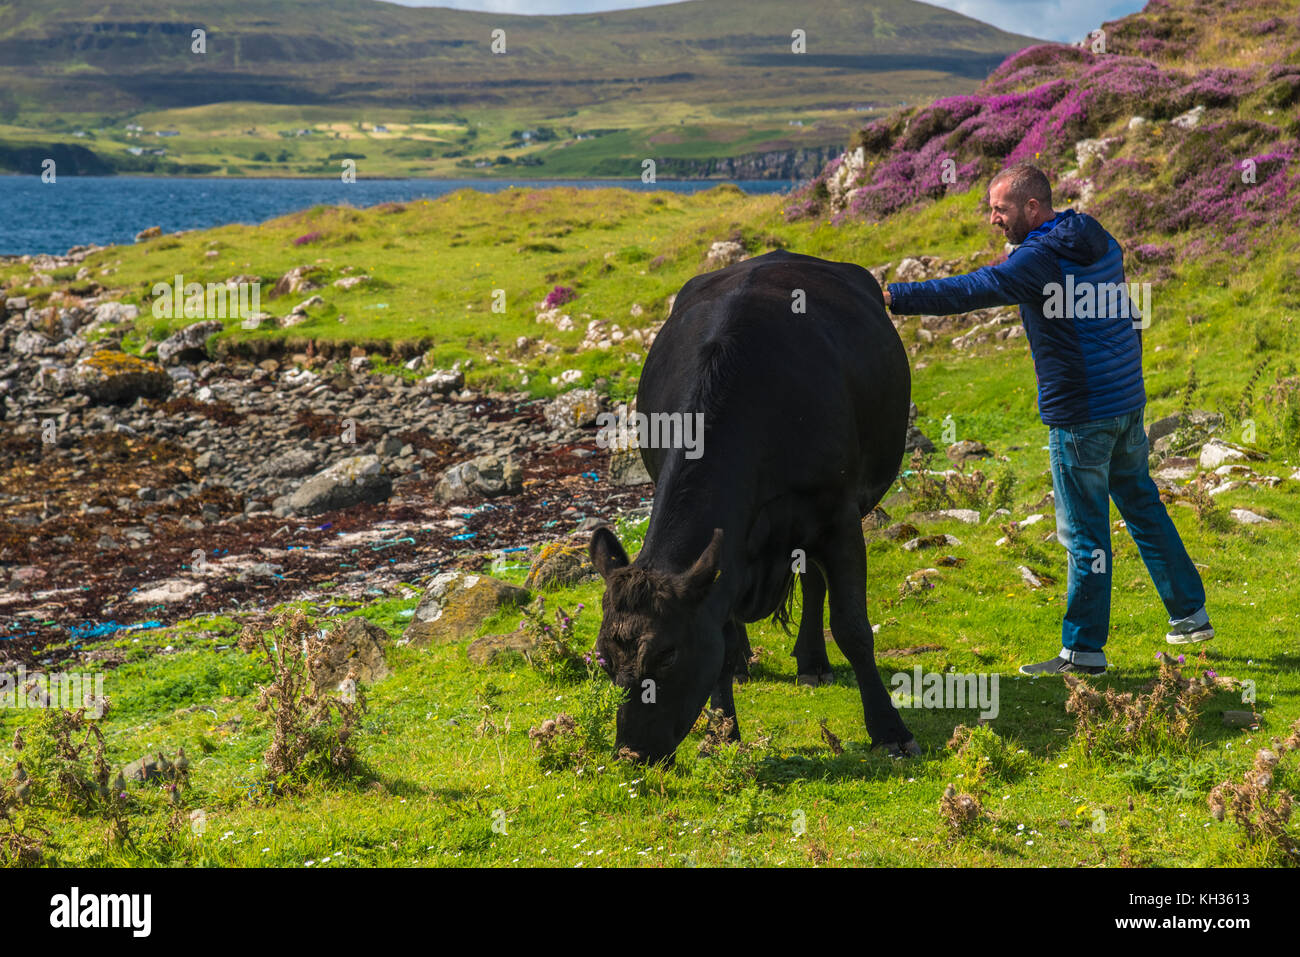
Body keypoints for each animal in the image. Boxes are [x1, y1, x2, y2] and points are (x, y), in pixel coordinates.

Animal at [588, 249, 920, 764]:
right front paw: (723, 731)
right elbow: (720, 637)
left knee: (814, 583)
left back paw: (812, 661)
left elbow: (852, 628)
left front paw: (889, 729)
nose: (630, 753)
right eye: (604, 657)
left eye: (666, 654)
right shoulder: (727, 550)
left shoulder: (839, 520)